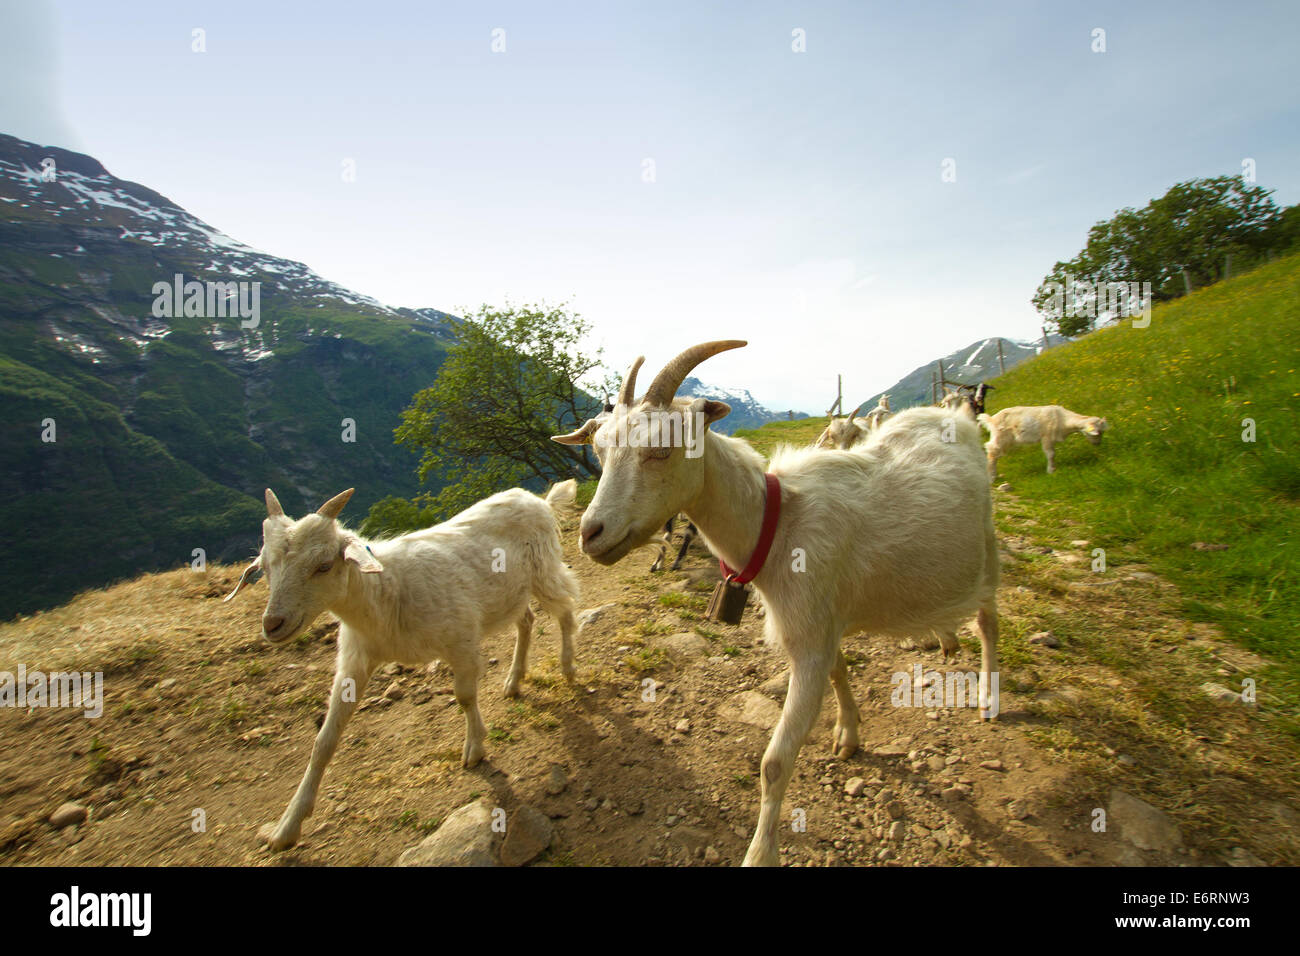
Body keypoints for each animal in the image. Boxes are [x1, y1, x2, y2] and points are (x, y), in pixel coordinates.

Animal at [224, 482, 580, 852]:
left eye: (323, 565)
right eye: (265, 568)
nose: (273, 624)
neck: (386, 588)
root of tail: (538, 500)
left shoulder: (461, 639)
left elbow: (465, 697)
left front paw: (475, 748)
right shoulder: (355, 659)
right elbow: (324, 741)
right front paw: (287, 826)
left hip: (544, 570)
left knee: (566, 608)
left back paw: (568, 667)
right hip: (511, 593)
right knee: (527, 620)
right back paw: (514, 680)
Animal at [553, 341, 999, 866]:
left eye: (661, 449)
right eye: (599, 450)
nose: (590, 535)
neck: (779, 522)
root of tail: (954, 416)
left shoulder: (807, 645)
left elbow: (774, 762)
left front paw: (760, 853)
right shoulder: (821, 623)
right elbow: (839, 670)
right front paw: (848, 735)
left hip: (987, 542)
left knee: (988, 620)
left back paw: (990, 698)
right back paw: (945, 636)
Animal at [980, 404, 1110, 479]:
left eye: (1102, 432)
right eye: (1098, 432)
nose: (1098, 443)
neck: (1062, 419)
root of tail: (992, 419)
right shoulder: (1046, 437)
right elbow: (1050, 454)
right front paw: (1051, 470)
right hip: (999, 437)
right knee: (992, 452)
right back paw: (992, 477)